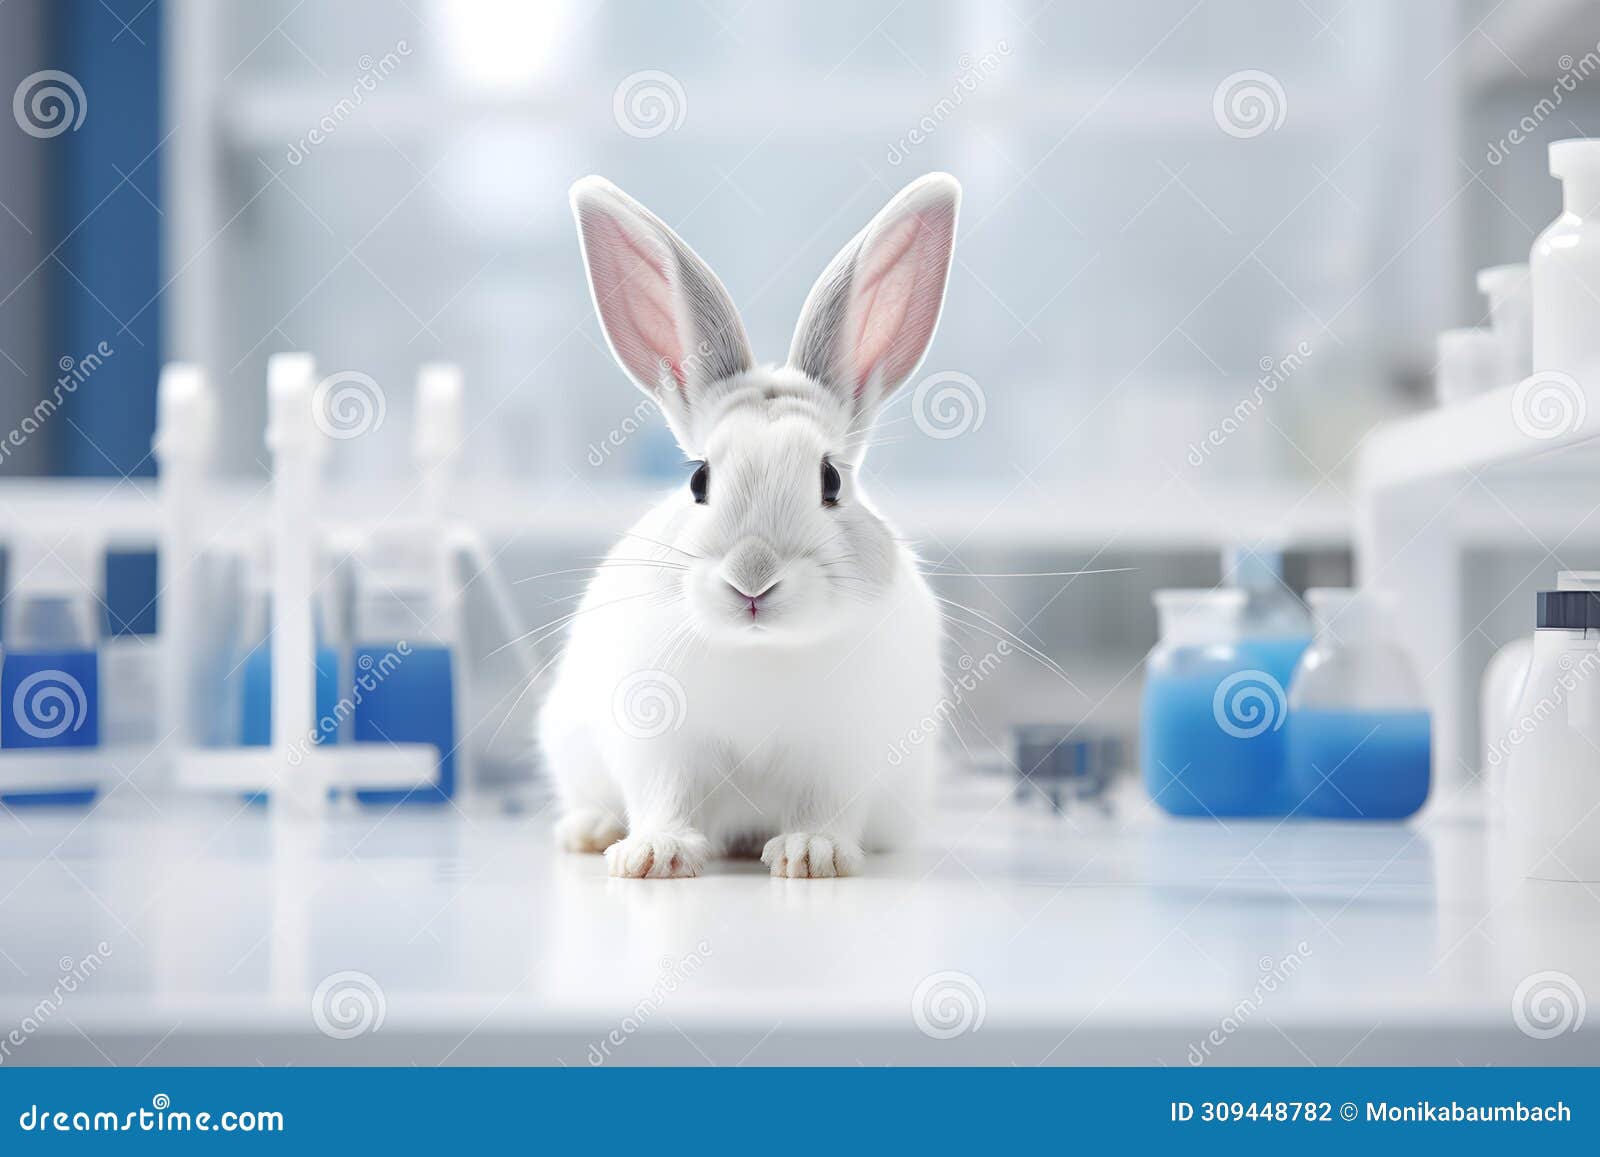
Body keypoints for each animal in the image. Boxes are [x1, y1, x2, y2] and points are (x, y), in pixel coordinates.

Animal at [539, 172, 961, 878]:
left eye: (831, 481)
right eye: (698, 480)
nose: (753, 579)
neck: (760, 652)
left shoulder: (844, 751)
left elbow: (825, 805)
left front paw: (813, 855)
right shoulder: (659, 742)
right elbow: (665, 797)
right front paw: (653, 856)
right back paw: (591, 832)